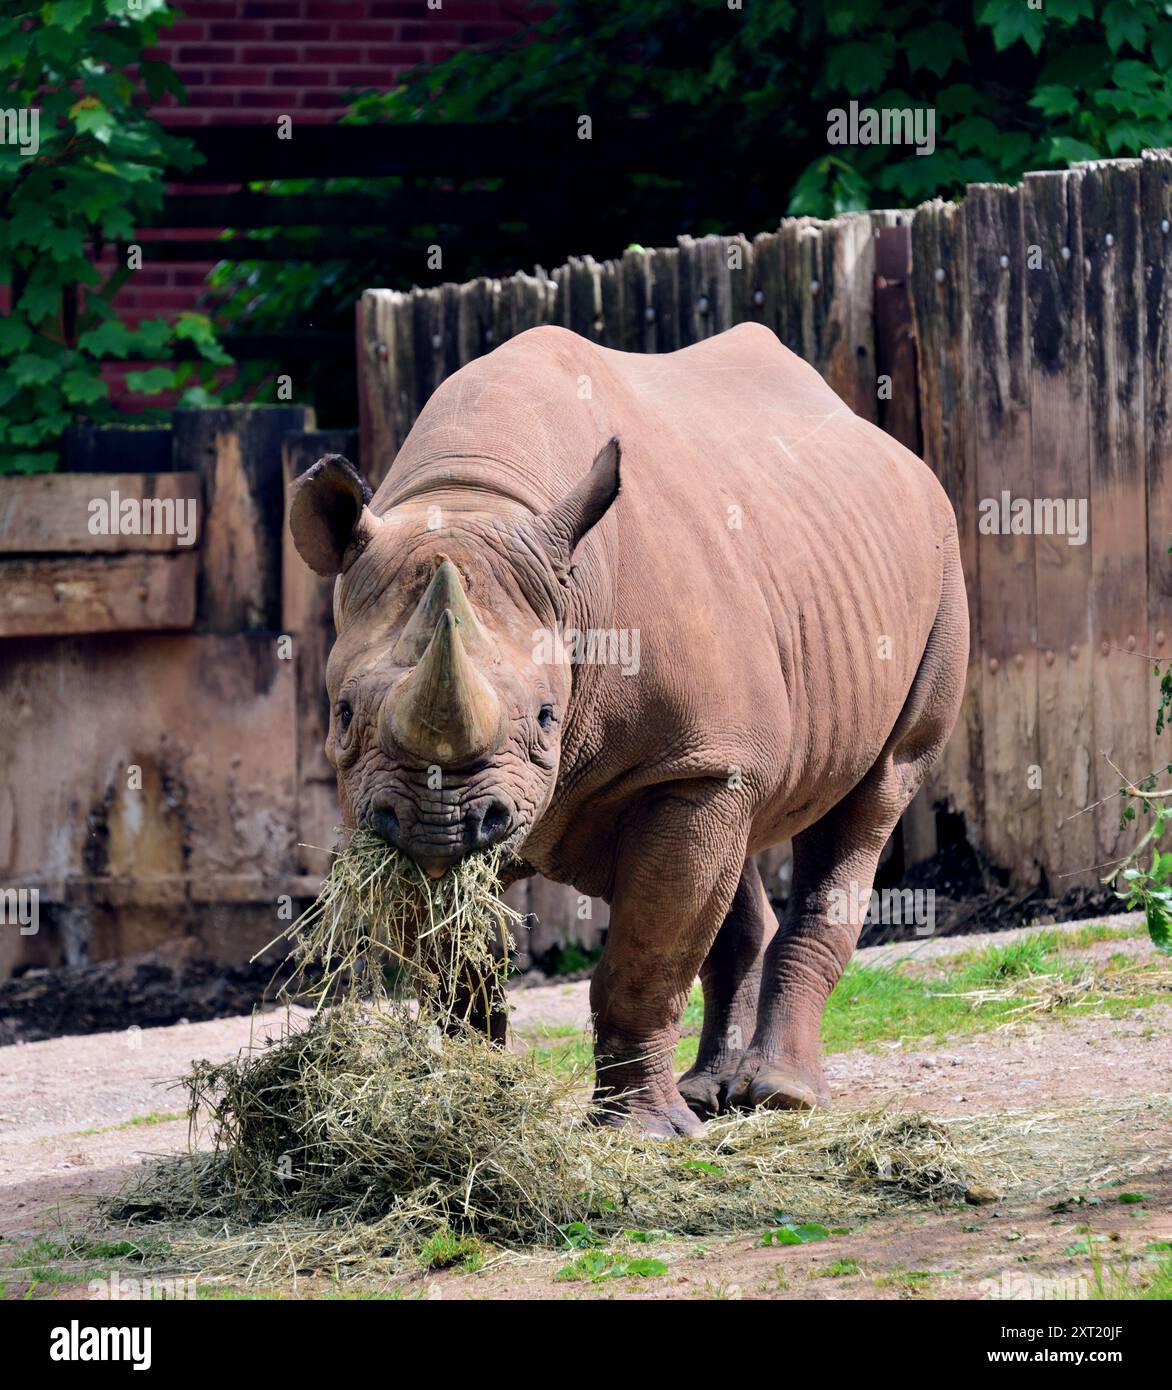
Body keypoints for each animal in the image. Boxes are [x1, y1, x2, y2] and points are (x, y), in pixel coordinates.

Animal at [289, 322, 967, 1137]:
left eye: (546, 716)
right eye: (343, 714)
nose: (441, 819)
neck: (472, 496)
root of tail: (889, 444)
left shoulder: (687, 760)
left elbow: (644, 959)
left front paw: (639, 1132)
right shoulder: (391, 809)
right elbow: (459, 968)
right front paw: (475, 1104)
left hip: (941, 569)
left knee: (873, 795)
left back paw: (779, 1097)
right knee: (742, 832)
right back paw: (711, 1094)